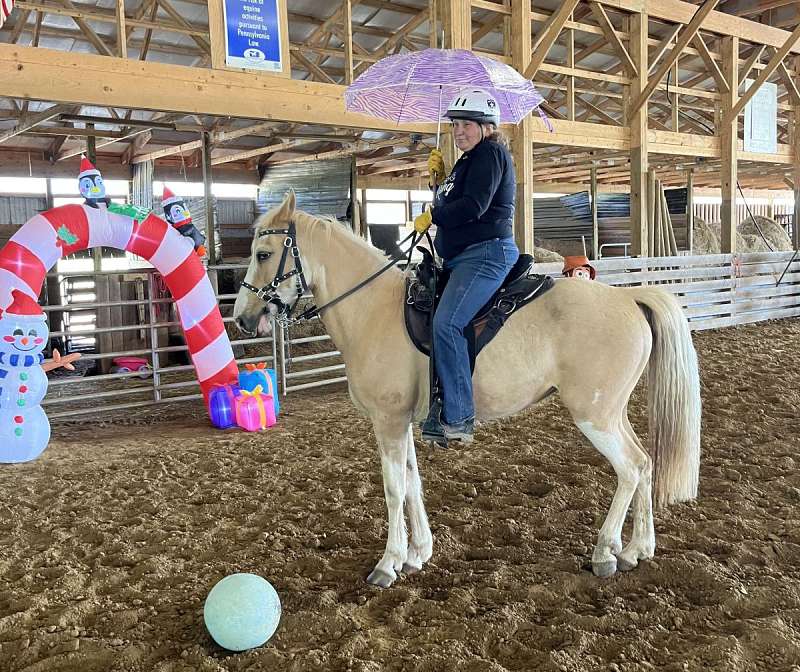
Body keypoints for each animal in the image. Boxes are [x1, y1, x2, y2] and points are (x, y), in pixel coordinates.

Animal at [233, 191, 701, 587]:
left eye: (263, 254)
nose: (242, 317)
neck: (373, 309)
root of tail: (628, 300)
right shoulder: (404, 423)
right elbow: (412, 482)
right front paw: (418, 553)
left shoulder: (388, 421)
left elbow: (393, 489)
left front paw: (389, 563)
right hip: (612, 412)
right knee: (645, 462)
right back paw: (637, 548)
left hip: (595, 415)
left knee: (631, 468)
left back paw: (606, 551)